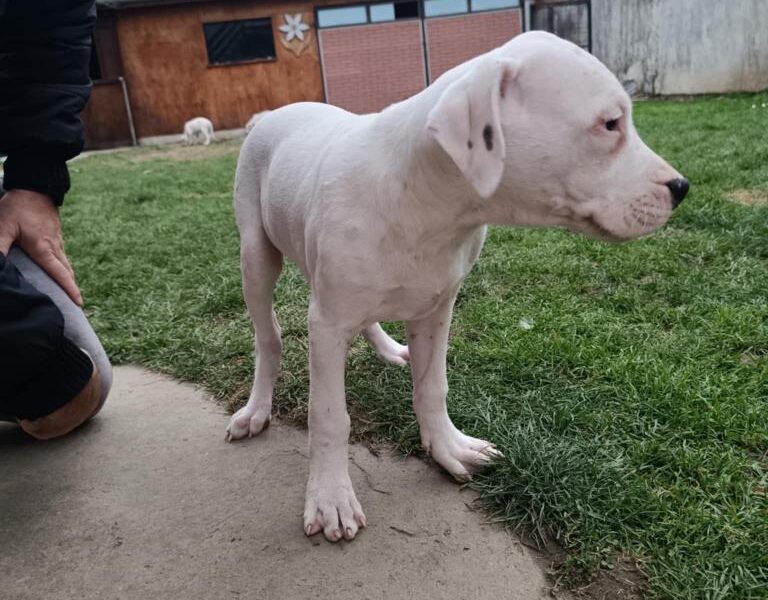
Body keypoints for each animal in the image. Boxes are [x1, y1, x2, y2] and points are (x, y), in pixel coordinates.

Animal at [225, 32, 688, 544]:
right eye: (610, 124)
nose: (682, 187)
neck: (428, 204)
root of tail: (274, 113)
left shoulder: (436, 308)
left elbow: (432, 387)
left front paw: (449, 448)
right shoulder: (327, 324)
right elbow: (328, 416)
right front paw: (330, 498)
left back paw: (388, 348)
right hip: (256, 257)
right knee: (269, 339)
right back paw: (256, 409)